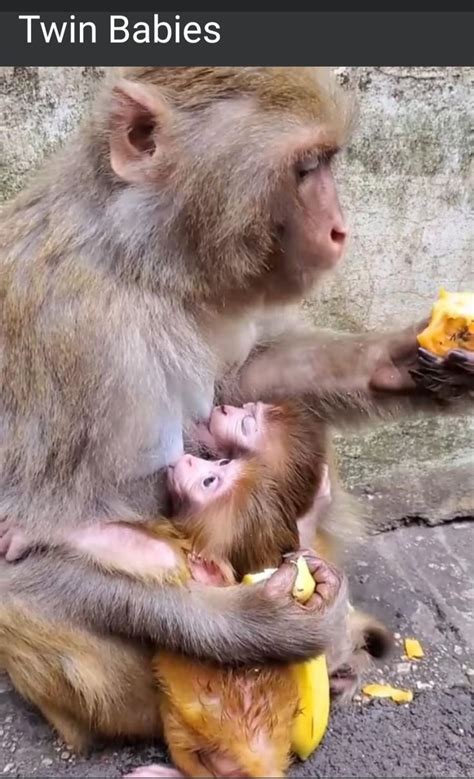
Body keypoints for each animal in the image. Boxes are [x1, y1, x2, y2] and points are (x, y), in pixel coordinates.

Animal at [0, 67, 471, 749]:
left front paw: (401, 361)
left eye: (326, 161)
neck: (137, 261)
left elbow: (240, 381)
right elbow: (24, 553)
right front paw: (259, 626)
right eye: (306, 167)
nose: (341, 230)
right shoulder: (83, 344)